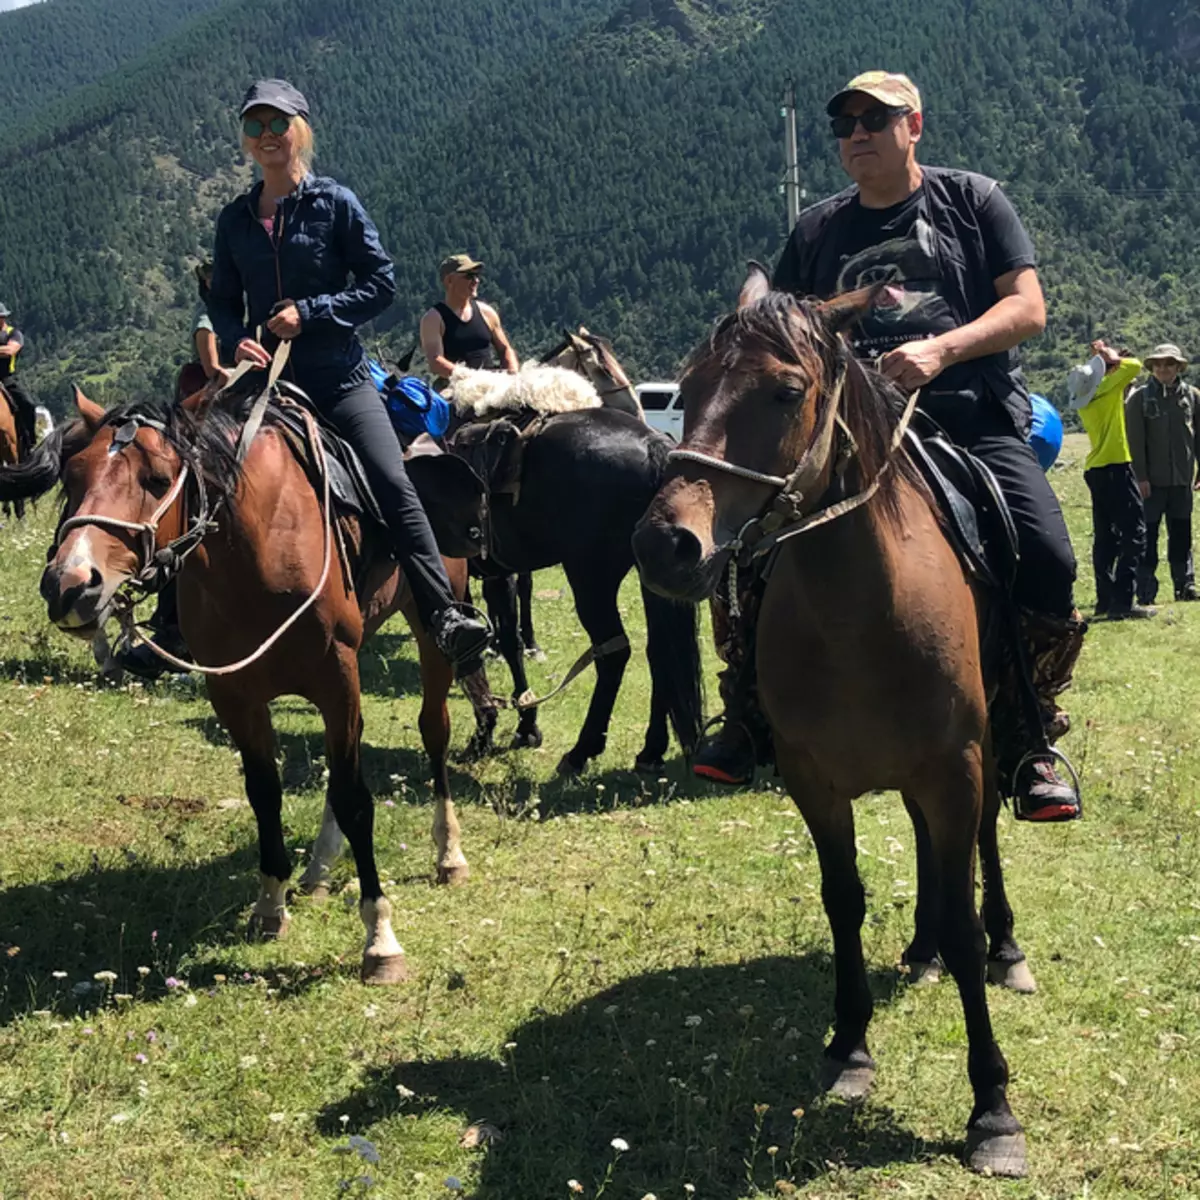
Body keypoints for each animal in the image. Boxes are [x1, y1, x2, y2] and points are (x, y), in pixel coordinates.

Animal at [633, 267, 1036, 1176]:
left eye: (786, 392)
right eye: (688, 389)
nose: (665, 544)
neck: (863, 614)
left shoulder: (955, 766)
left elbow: (963, 915)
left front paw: (992, 1110)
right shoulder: (814, 780)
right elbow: (843, 899)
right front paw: (850, 1046)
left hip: (984, 748)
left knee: (987, 842)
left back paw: (1006, 947)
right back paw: (918, 951)